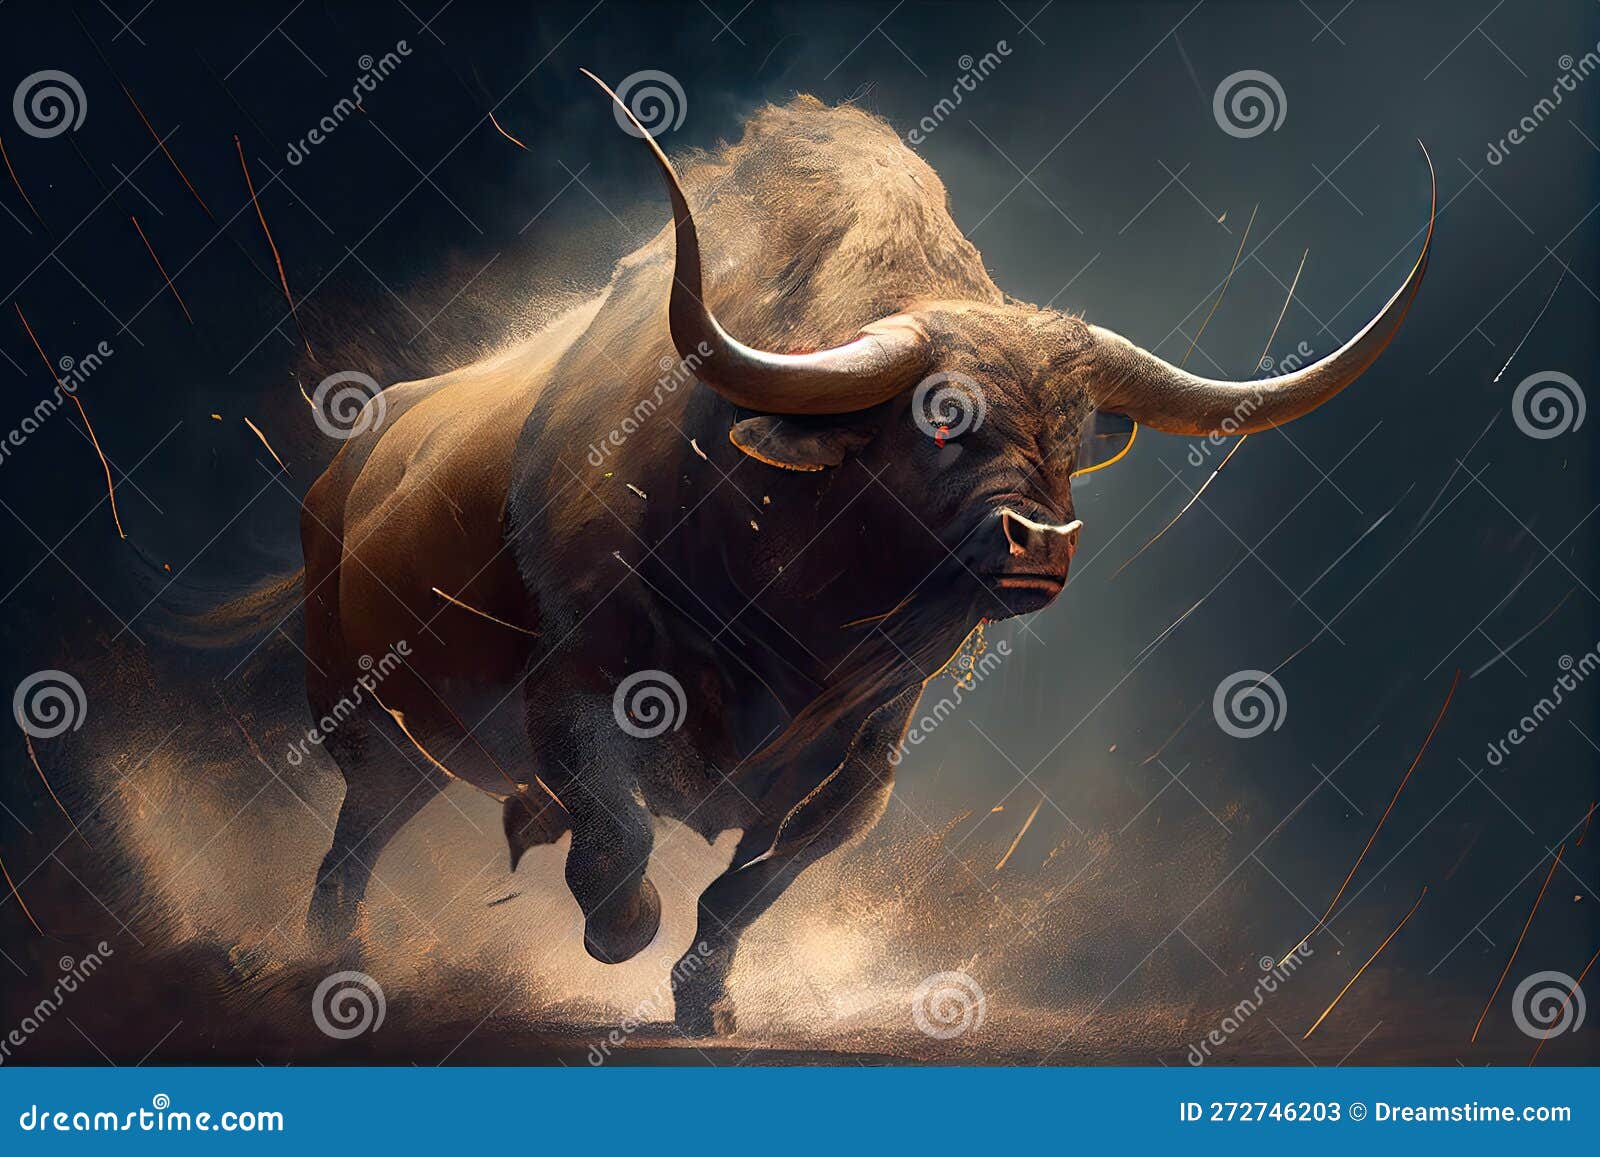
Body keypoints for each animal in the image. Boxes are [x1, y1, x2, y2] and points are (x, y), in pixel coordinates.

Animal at [297, 72, 1434, 1037]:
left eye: (1072, 433)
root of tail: (346, 464)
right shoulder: (573, 688)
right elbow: (621, 842)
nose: (1042, 539)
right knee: (352, 843)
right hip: (368, 720)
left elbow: (749, 885)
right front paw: (619, 934)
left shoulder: (865, 758)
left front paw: (705, 1001)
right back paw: (331, 964)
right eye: (940, 416)